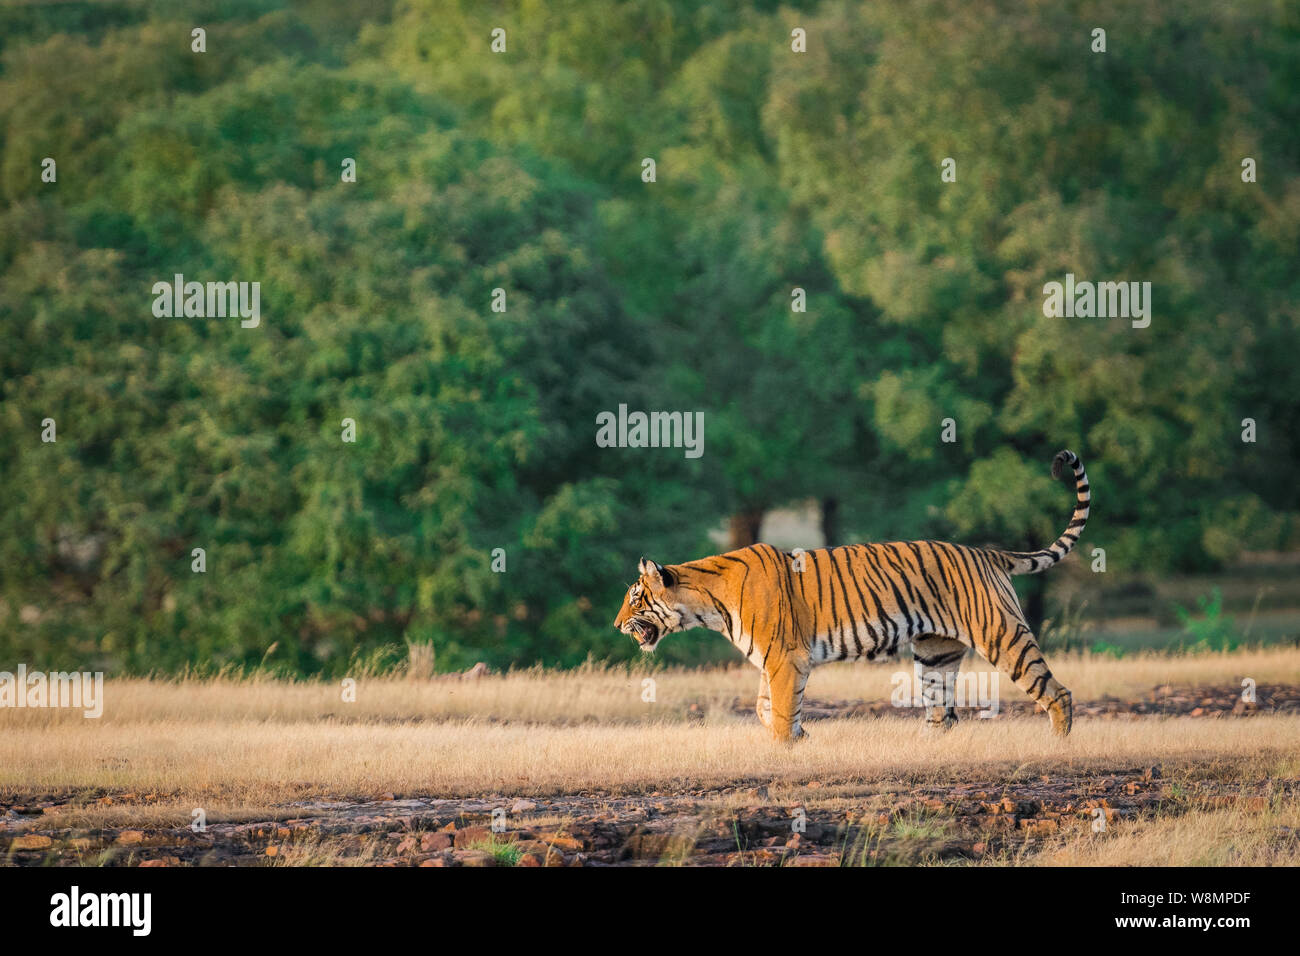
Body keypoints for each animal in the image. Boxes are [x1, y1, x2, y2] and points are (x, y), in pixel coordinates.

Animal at [613, 449, 1090, 741]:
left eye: (635, 598)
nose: (616, 625)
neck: (705, 605)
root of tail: (988, 553)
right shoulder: (777, 661)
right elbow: (766, 707)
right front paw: (801, 739)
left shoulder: (784, 658)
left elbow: (780, 712)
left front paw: (786, 750)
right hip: (936, 654)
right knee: (943, 715)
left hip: (1002, 635)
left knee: (1056, 692)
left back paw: (1057, 746)